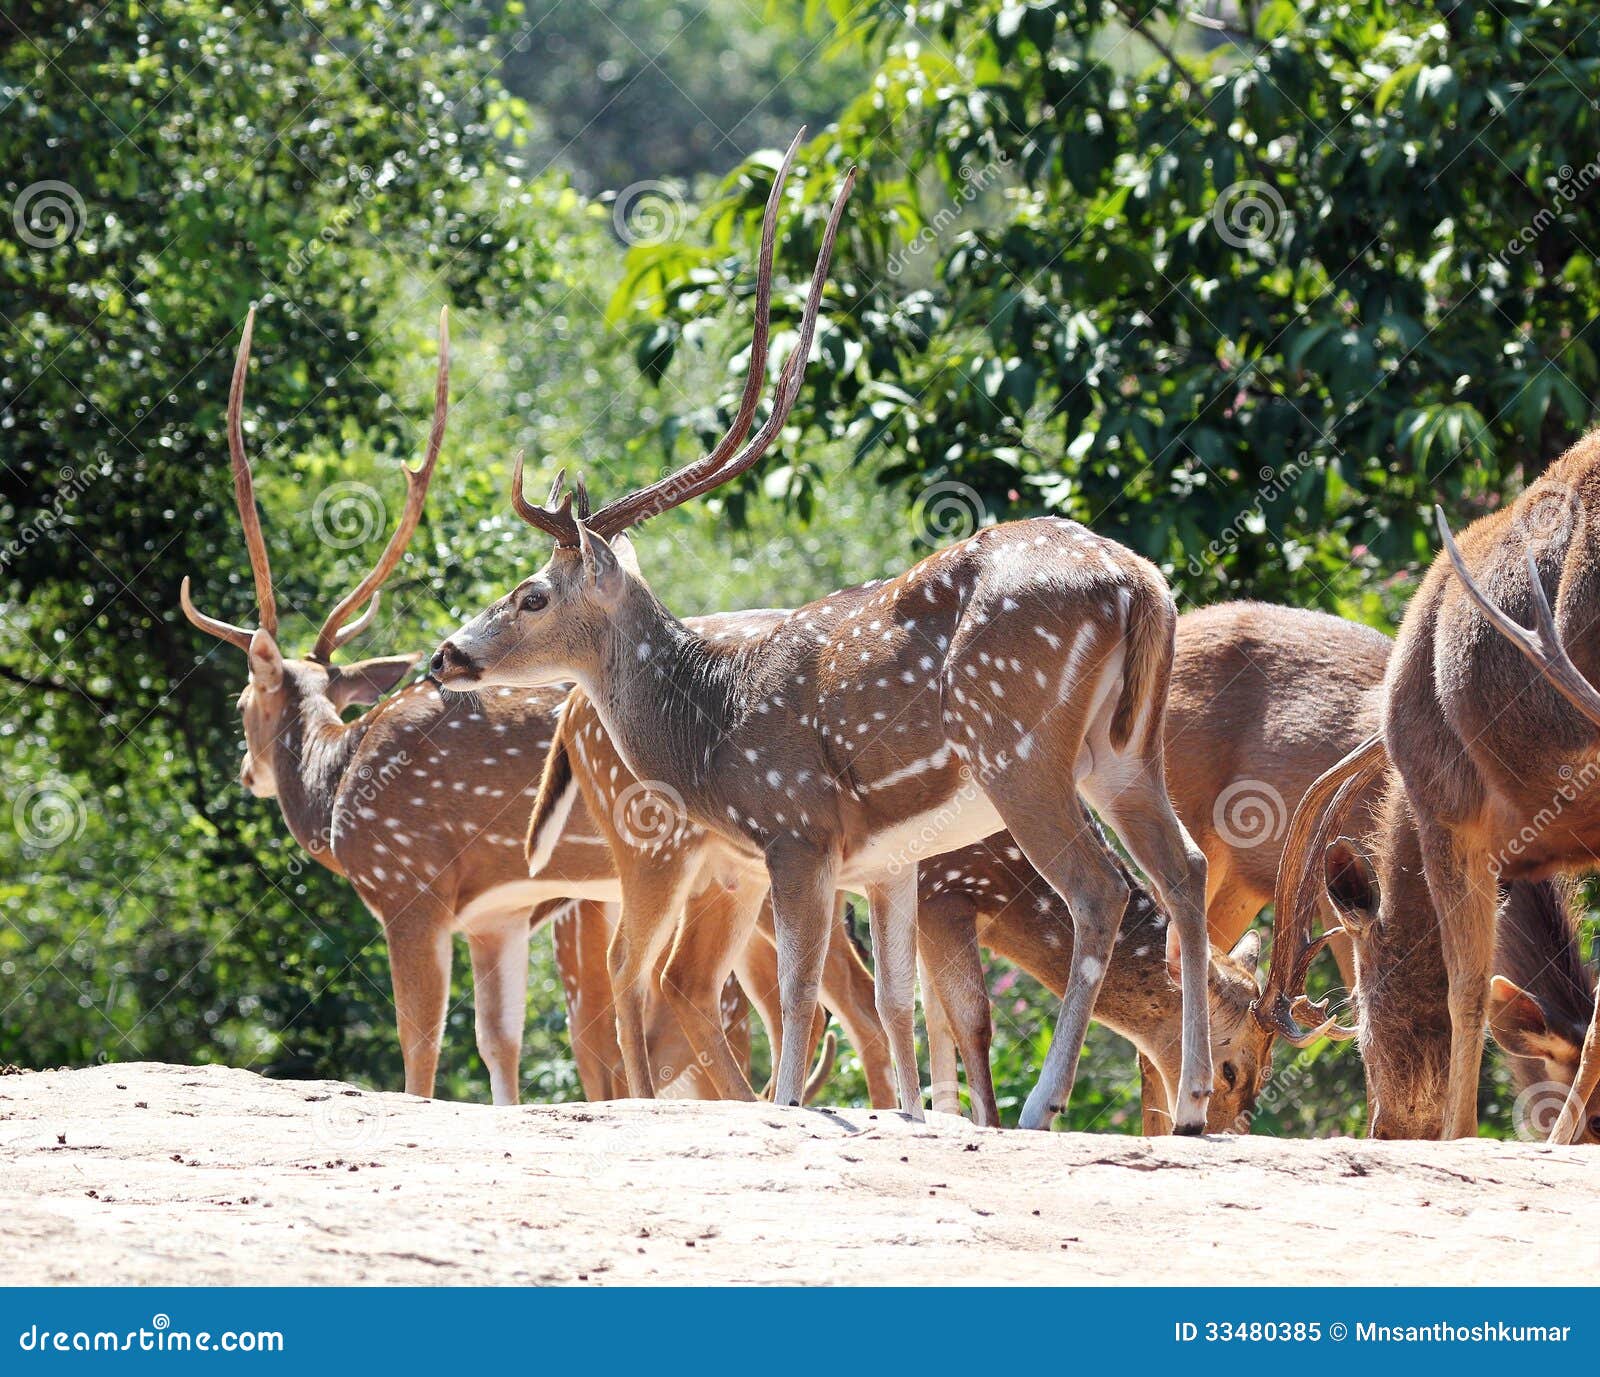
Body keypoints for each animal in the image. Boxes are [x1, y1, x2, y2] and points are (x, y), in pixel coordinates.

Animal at [177, 304, 818, 1108]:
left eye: (241, 702)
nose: (244, 771)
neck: (336, 791)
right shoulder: (500, 914)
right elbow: (497, 1041)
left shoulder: (410, 888)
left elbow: (419, 1048)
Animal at [429, 130, 1217, 1132]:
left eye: (530, 594)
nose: (447, 654)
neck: (713, 731)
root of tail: (1139, 583)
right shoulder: (887, 857)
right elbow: (892, 995)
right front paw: (908, 1115)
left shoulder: (795, 828)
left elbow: (808, 987)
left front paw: (795, 1101)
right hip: (1124, 749)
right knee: (1184, 868)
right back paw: (1193, 1104)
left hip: (1017, 746)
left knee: (1100, 888)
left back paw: (1045, 1104)